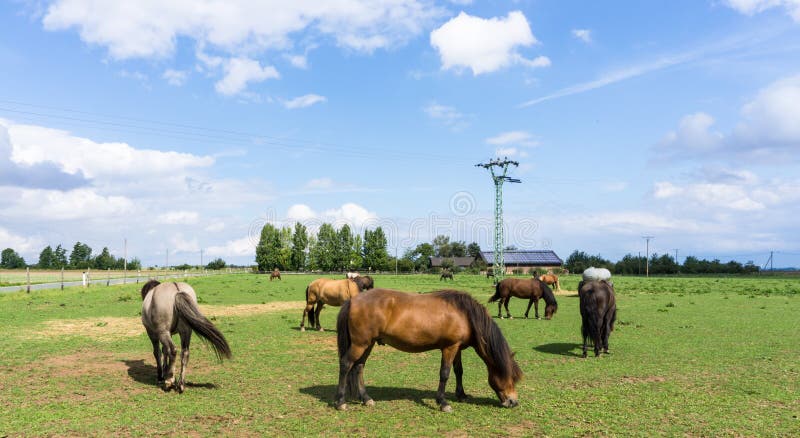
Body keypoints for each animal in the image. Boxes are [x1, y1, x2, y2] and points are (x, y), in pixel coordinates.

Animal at [335, 288, 522, 412]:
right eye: (511, 377)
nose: (513, 402)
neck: (465, 315)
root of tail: (353, 300)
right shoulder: (449, 348)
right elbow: (445, 373)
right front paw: (443, 403)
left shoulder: (457, 348)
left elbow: (459, 371)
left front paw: (461, 395)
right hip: (360, 344)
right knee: (346, 365)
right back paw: (341, 402)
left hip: (368, 343)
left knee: (358, 367)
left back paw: (366, 399)